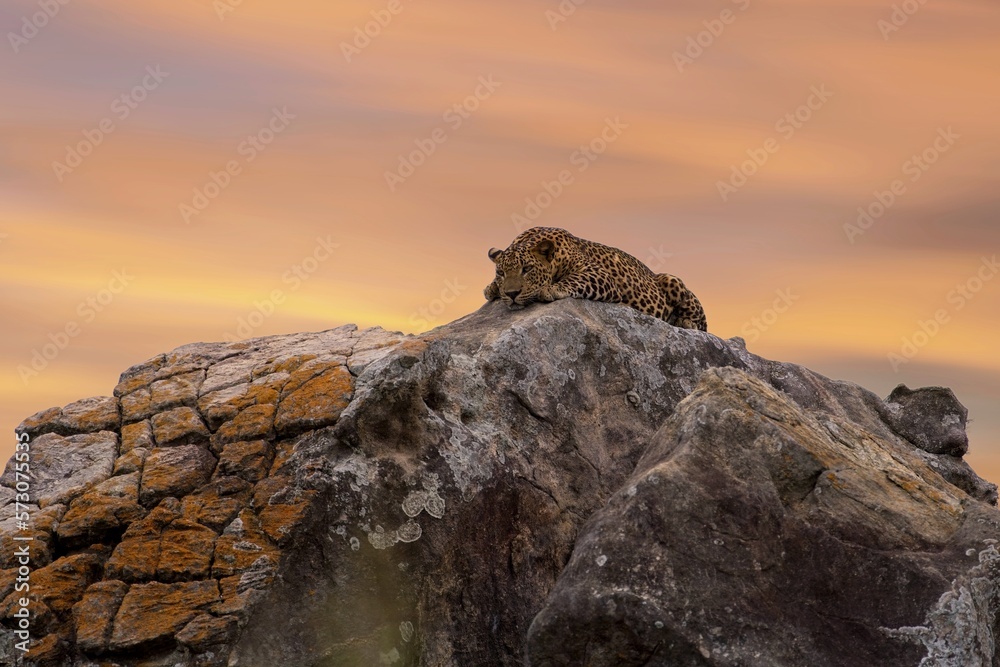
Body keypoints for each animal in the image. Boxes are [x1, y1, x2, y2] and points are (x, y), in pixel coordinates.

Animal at [484, 226, 707, 331]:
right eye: (501, 273)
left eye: (527, 269)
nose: (512, 294)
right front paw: (492, 288)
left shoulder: (598, 273)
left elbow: (575, 279)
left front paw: (551, 289)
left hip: (672, 280)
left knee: (702, 325)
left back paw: (684, 322)